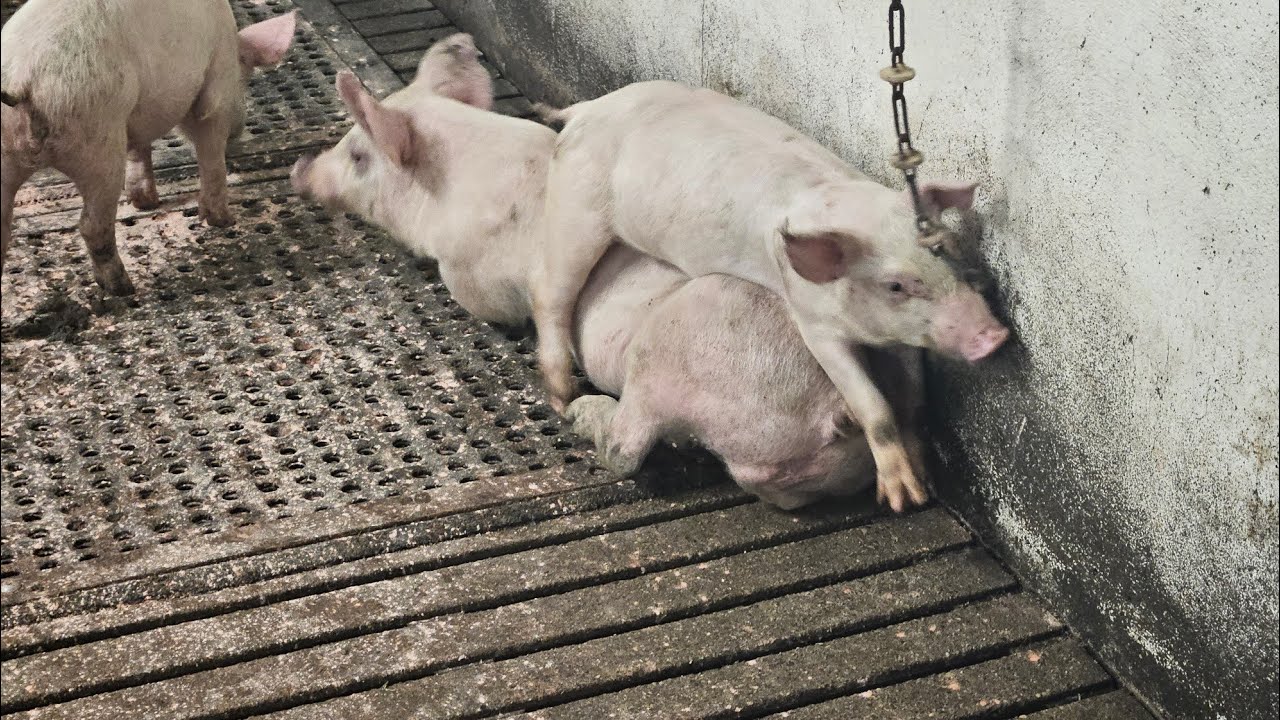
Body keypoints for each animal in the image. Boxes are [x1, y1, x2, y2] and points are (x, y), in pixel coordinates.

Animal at [1, 1, 298, 295]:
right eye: (246, 79)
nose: (240, 128)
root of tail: (21, 80)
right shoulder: (216, 90)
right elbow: (211, 156)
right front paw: (223, 221)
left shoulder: (139, 118)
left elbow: (140, 152)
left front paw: (147, 203)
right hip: (98, 141)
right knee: (93, 224)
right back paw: (123, 288)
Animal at [290, 39, 926, 509]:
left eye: (356, 154)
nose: (299, 167)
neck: (454, 181)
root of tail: (840, 408)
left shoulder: (473, 274)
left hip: (672, 348)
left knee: (628, 445)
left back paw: (579, 412)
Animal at [529, 81, 1009, 511]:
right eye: (895, 285)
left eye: (946, 247)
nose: (994, 337)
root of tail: (589, 108)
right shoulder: (812, 320)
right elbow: (874, 406)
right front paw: (899, 500)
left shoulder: (904, 341)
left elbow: (912, 400)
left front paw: (924, 486)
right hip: (578, 210)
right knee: (551, 299)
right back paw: (562, 399)